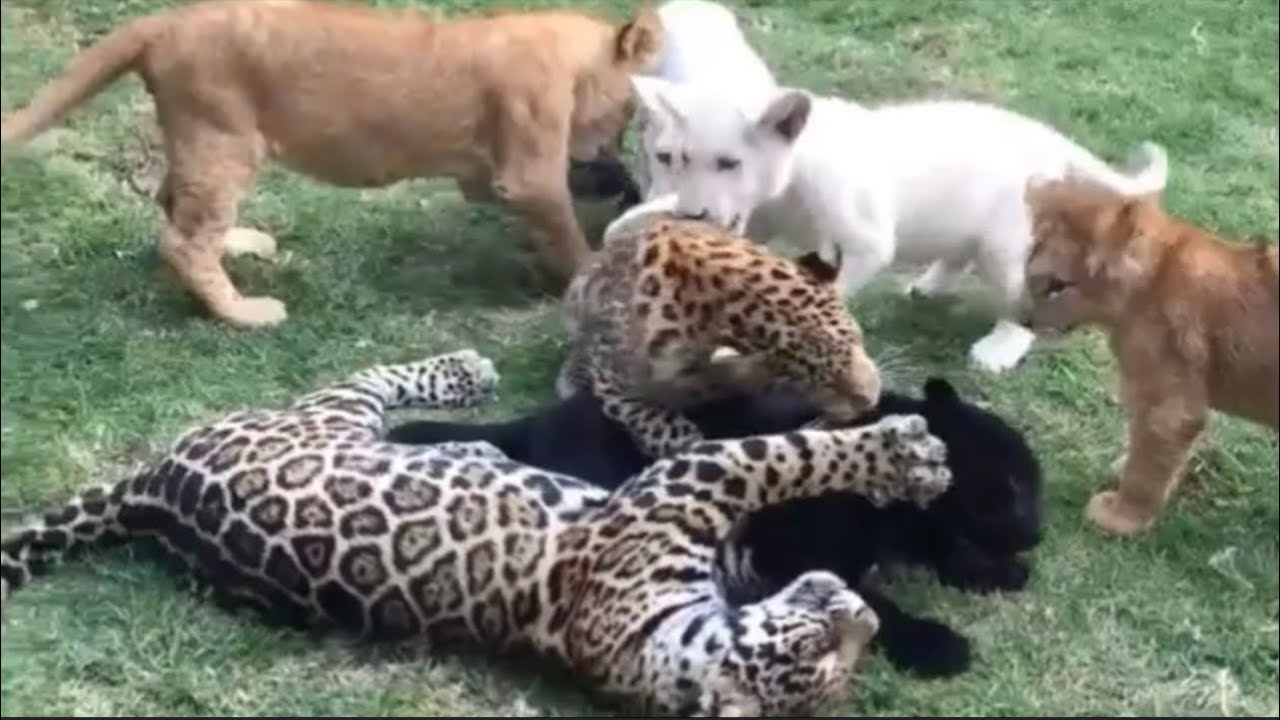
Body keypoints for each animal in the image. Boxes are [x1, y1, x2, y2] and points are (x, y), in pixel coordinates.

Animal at [0, 0, 662, 328]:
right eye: (628, 112)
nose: (619, 169)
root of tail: (165, 22)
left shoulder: (483, 176)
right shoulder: (528, 167)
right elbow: (571, 234)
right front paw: (590, 274)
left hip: (199, 141)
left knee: (175, 209)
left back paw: (239, 246)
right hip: (225, 138)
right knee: (183, 240)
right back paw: (245, 314)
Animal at [0, 349, 951, 716]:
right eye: (821, 651)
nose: (860, 615)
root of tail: (153, 487)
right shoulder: (679, 490)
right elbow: (778, 455)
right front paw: (901, 454)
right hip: (331, 415)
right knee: (379, 378)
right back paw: (465, 374)